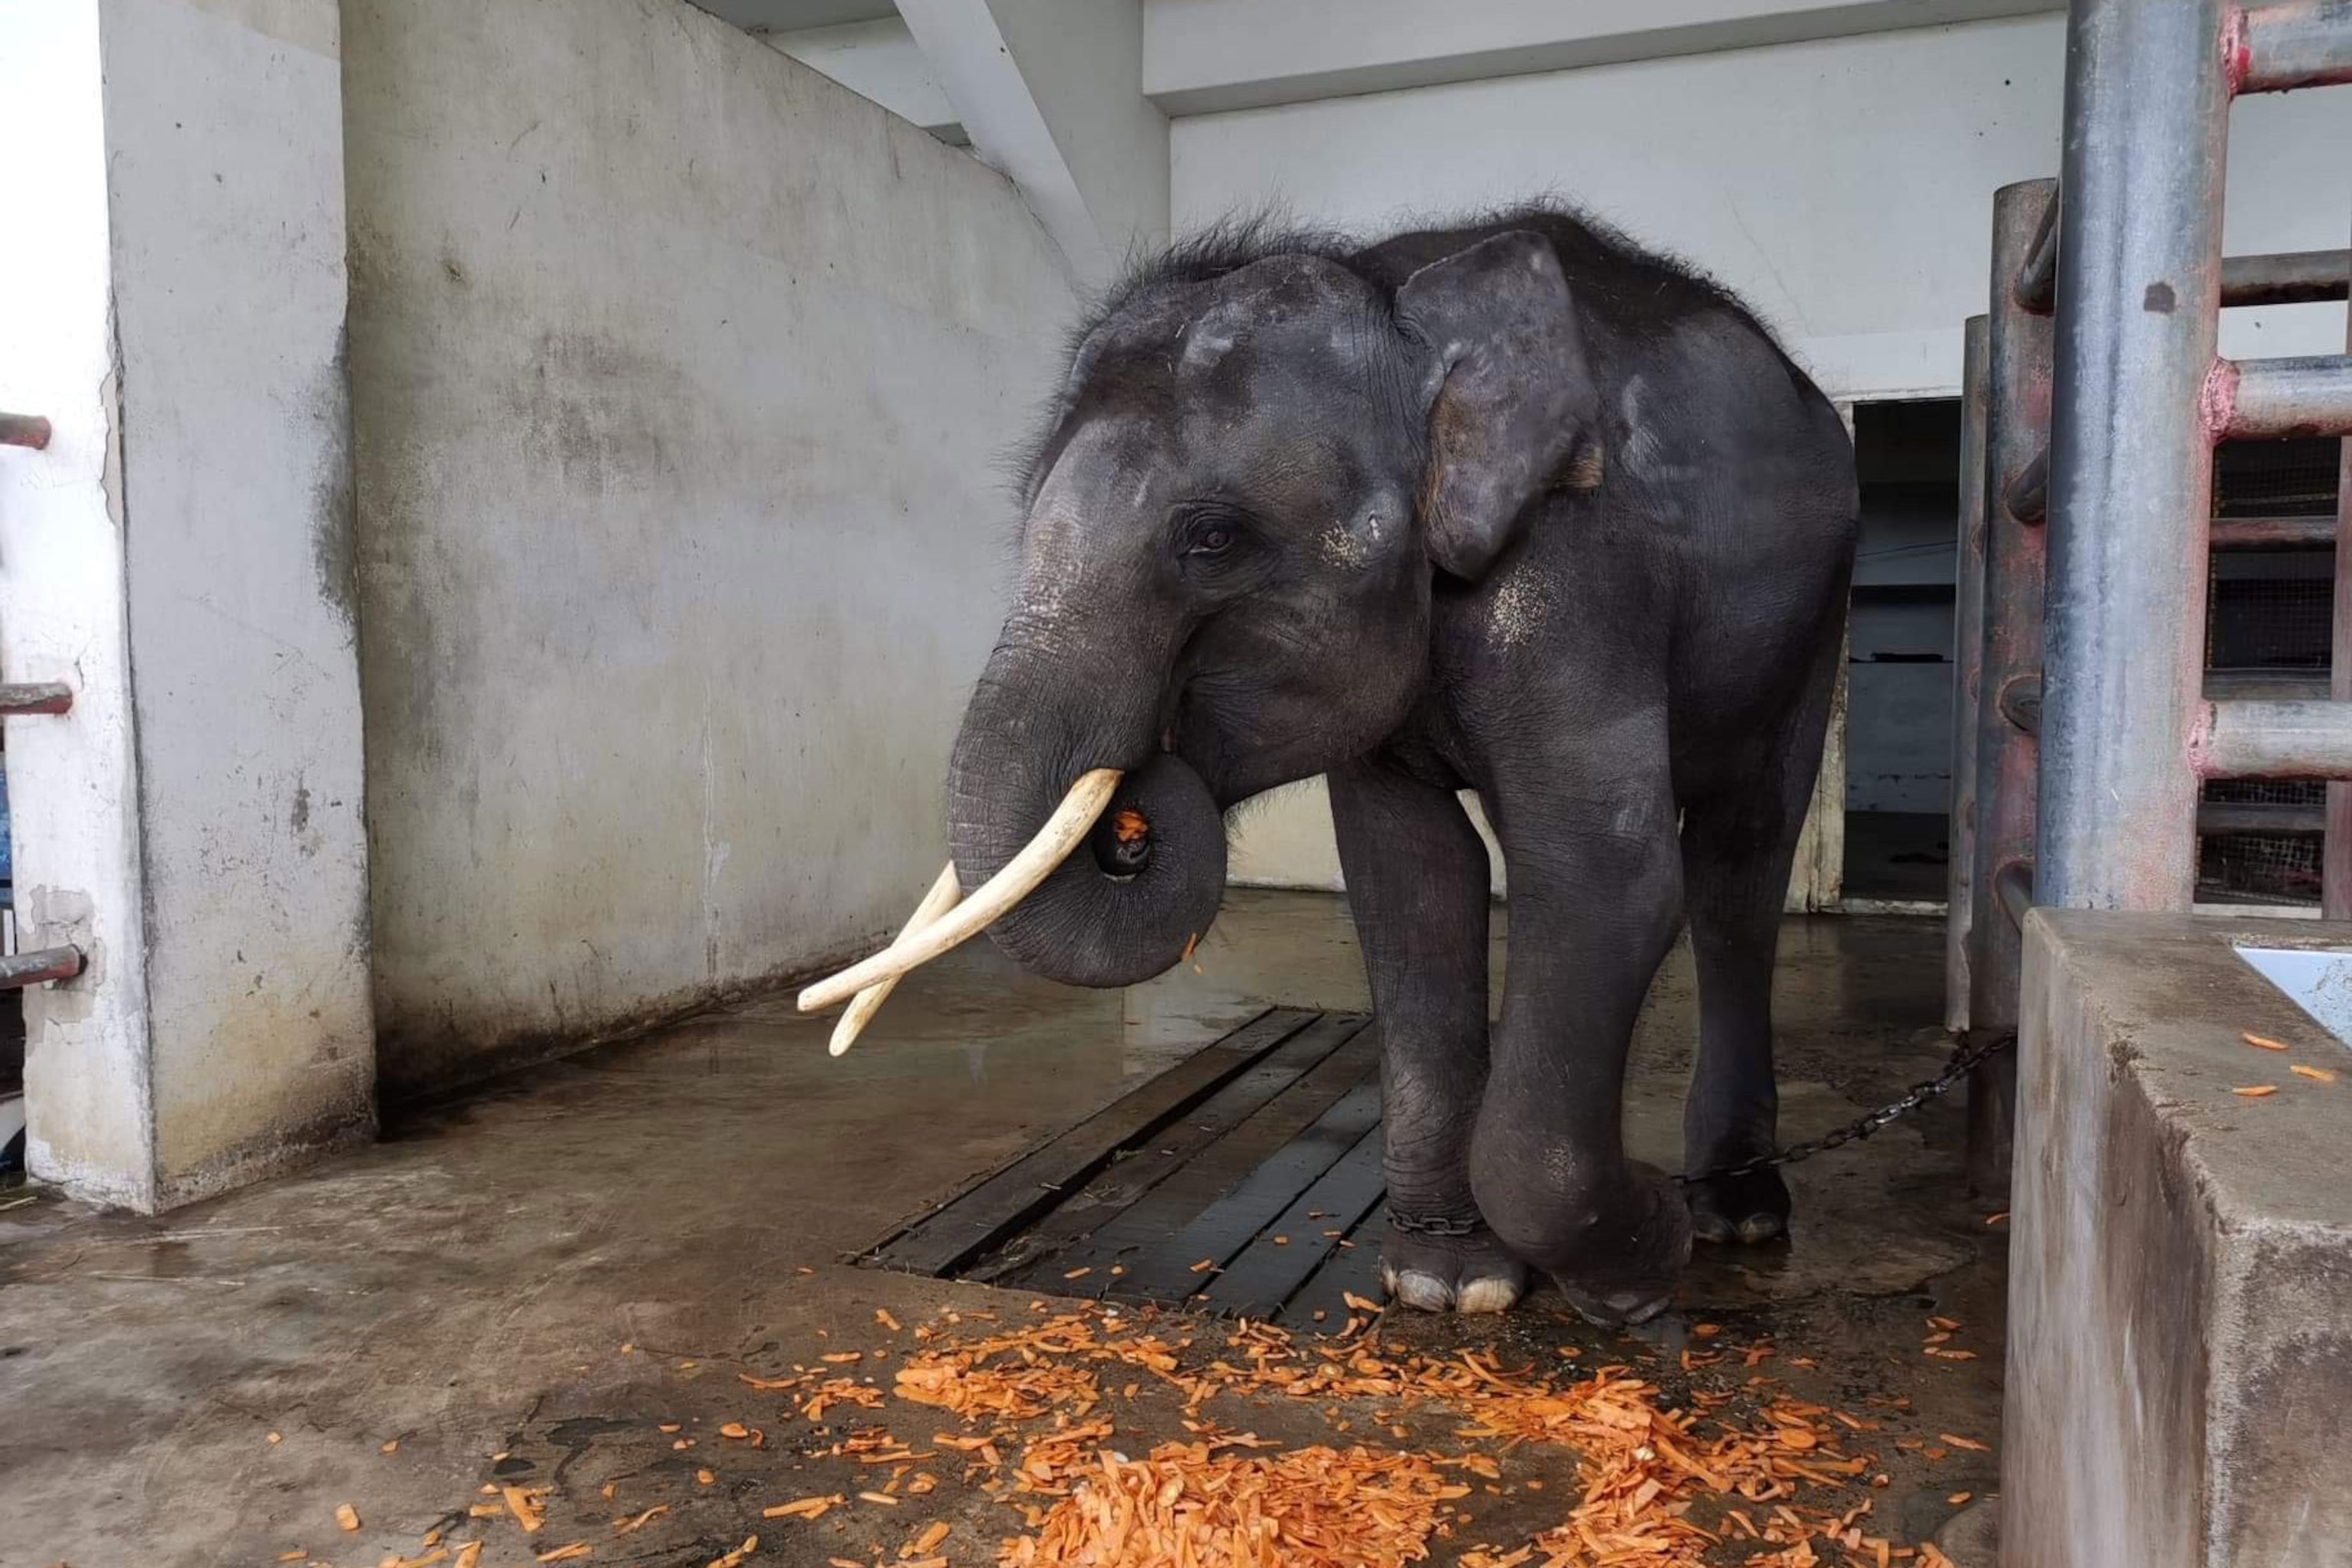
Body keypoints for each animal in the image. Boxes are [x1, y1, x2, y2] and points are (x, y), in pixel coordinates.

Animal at [940, 205, 1857, 1325]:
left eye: (1211, 537)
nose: (1131, 815)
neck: (1400, 314)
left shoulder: (1582, 570)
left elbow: (1605, 879)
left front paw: (1642, 1265)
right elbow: (1410, 880)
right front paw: (1446, 1284)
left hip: (1818, 611)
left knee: (1741, 860)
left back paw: (1738, 1214)